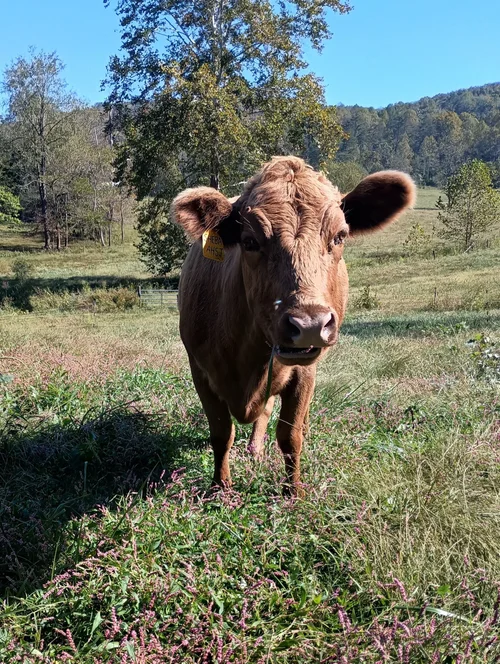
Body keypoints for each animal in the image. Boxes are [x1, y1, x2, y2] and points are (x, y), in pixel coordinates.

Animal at [173, 157, 415, 495]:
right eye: (249, 241)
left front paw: (293, 491)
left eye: (339, 236)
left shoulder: (303, 373)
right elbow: (221, 434)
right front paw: (221, 487)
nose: (310, 323)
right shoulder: (200, 370)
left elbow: (289, 436)